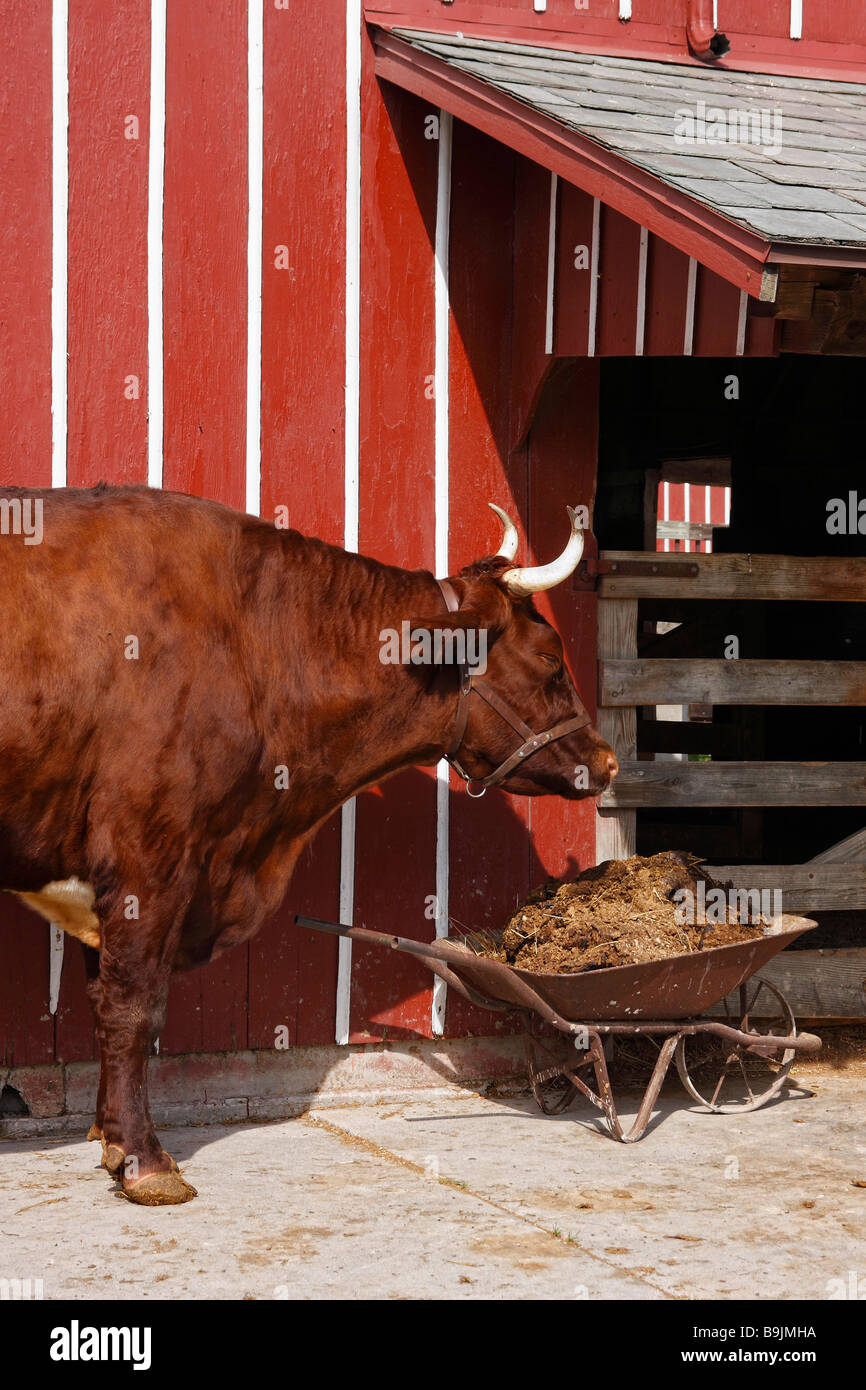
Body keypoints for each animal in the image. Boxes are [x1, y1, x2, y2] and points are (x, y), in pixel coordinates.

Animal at [0, 484, 617, 1204]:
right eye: (549, 659)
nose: (607, 762)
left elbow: (106, 999)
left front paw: (110, 1136)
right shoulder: (147, 857)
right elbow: (133, 1008)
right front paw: (145, 1162)